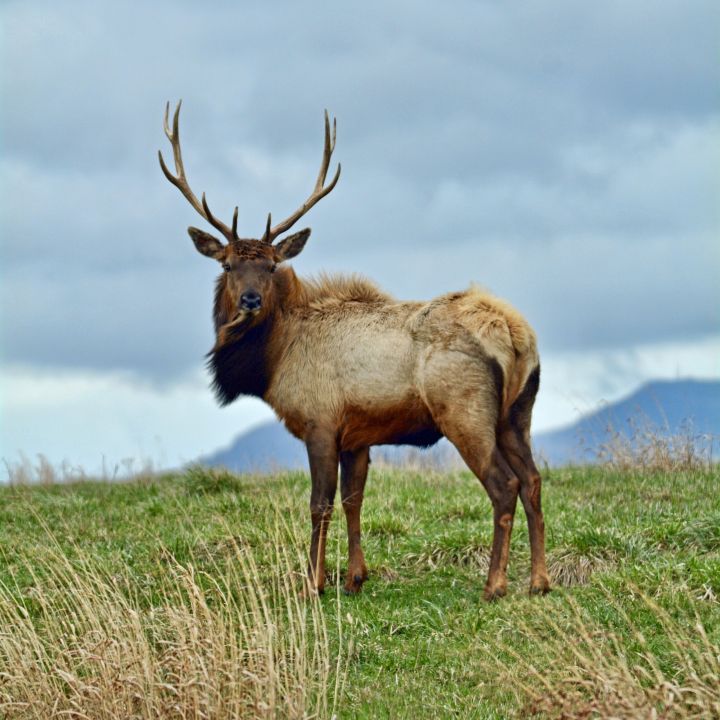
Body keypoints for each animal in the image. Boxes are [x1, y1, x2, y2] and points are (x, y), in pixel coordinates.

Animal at [159, 102, 550, 600]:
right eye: (228, 264)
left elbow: (319, 503)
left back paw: (494, 584)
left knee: (505, 486)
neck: (275, 359)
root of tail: (515, 333)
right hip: (517, 413)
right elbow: (353, 500)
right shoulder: (358, 435)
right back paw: (539, 580)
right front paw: (355, 577)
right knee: (534, 481)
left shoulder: (320, 421)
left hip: (465, 410)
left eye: (271, 265)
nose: (249, 301)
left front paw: (314, 582)